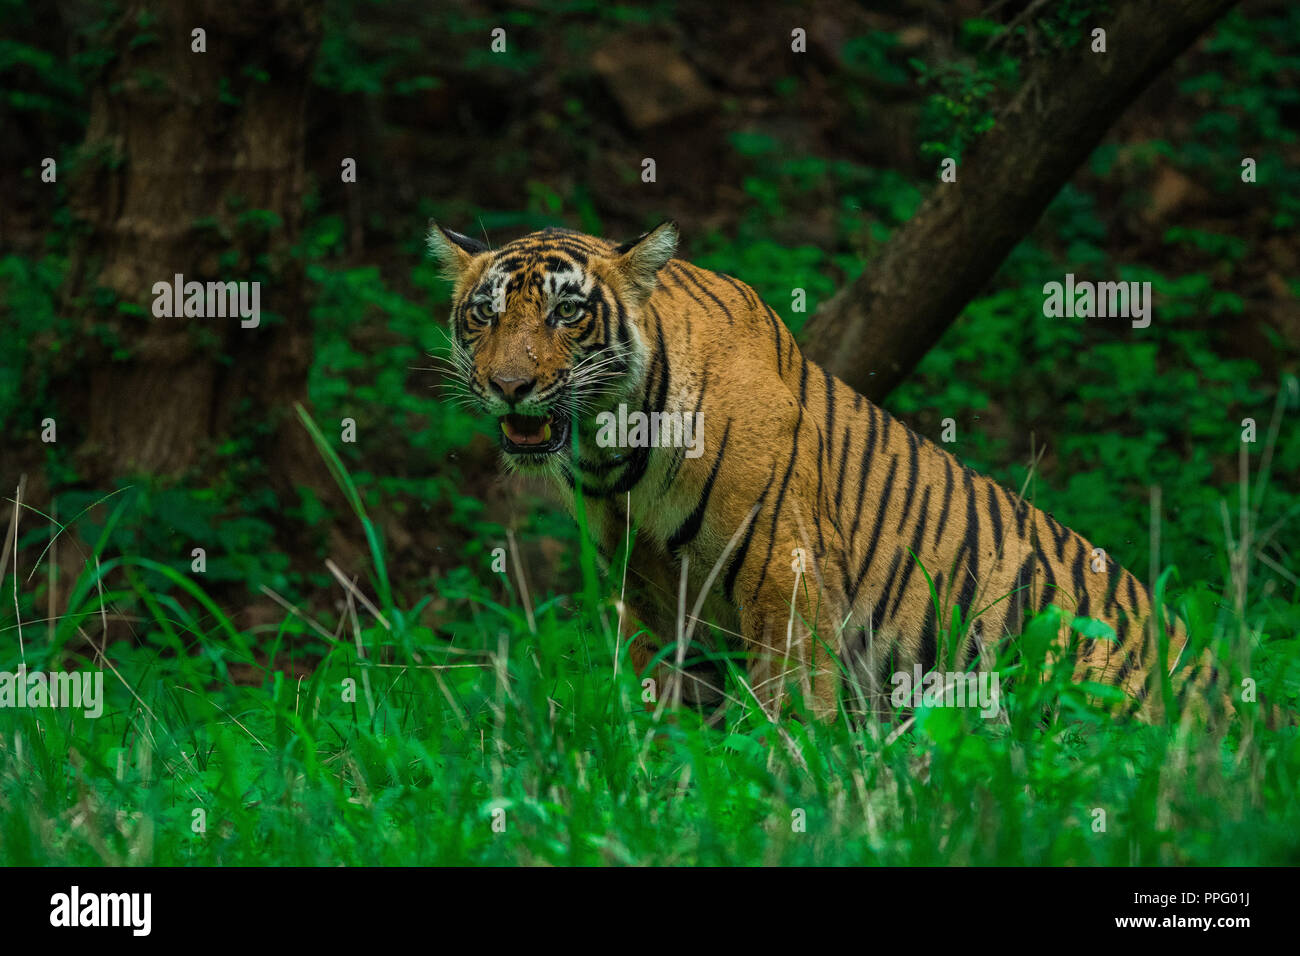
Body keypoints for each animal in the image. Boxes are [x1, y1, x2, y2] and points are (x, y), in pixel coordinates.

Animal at [428, 220, 1206, 722]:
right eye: (483, 315)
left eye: (567, 312)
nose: (509, 385)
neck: (612, 454)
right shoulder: (643, 591)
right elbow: (667, 697)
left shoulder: (787, 567)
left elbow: (792, 698)